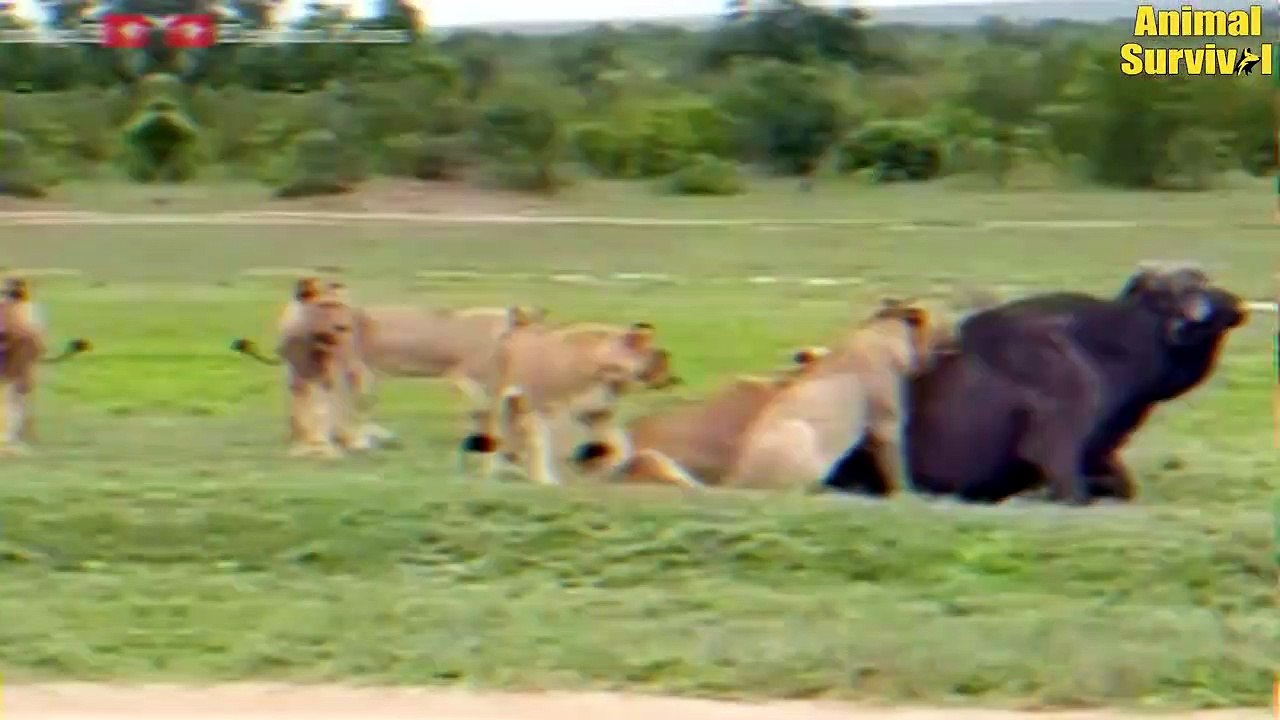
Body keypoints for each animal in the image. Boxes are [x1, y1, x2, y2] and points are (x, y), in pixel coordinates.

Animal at [459, 319, 682, 486]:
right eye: (662, 356)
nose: (673, 380)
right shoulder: (547, 408)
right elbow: (542, 444)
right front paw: (546, 480)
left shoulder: (597, 412)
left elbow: (613, 442)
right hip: (498, 398)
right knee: (493, 431)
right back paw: (492, 471)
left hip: (516, 405)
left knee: (513, 432)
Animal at [826, 265, 1249, 505]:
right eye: (1181, 290)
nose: (1236, 305)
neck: (1108, 345)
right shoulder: (1059, 443)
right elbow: (1073, 491)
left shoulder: (1099, 452)